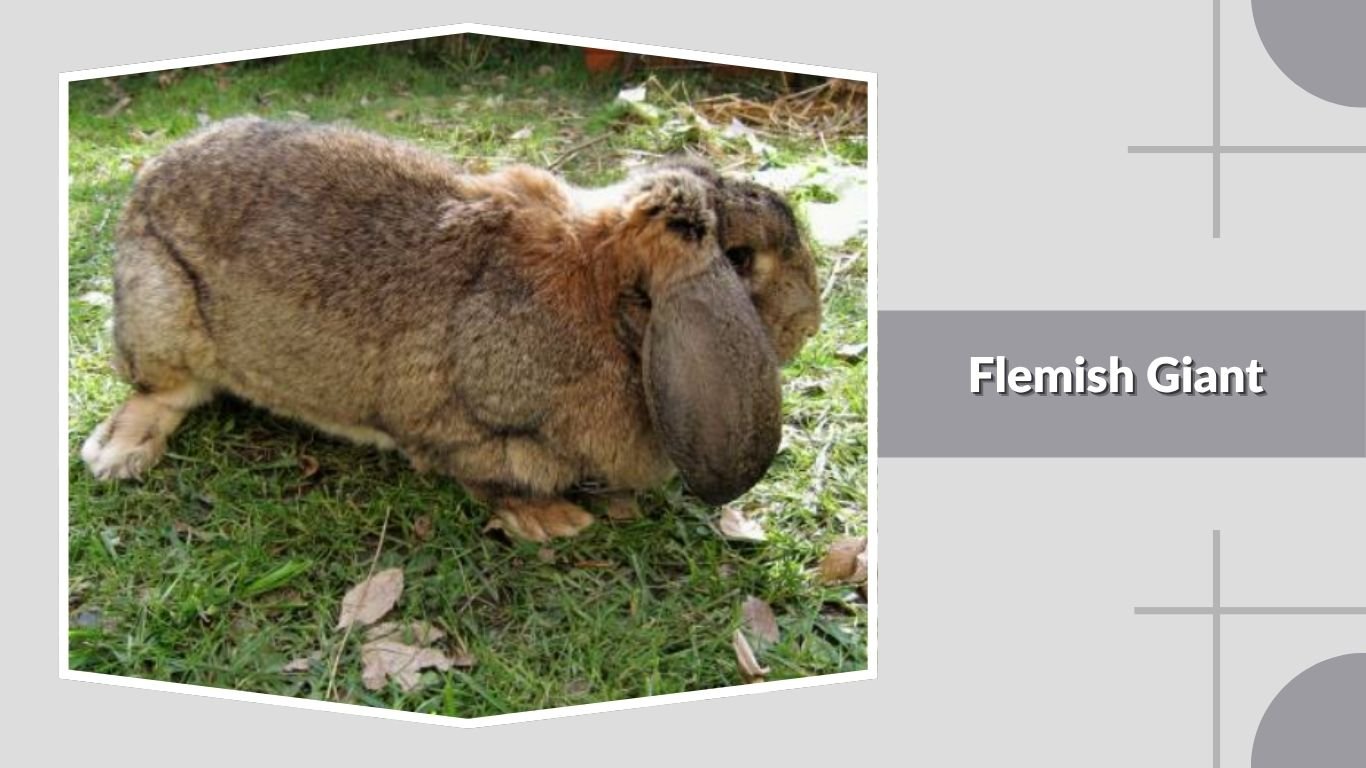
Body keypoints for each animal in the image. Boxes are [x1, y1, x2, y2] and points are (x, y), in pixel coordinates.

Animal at [80, 117, 823, 541]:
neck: (607, 300)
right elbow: (485, 478)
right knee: (161, 392)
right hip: (164, 312)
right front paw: (554, 523)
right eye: (739, 260)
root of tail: (143, 188)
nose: (810, 321)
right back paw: (116, 453)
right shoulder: (469, 431)